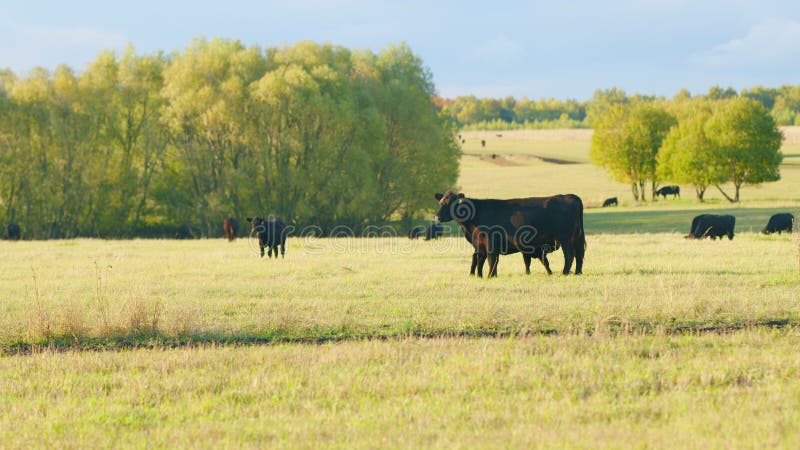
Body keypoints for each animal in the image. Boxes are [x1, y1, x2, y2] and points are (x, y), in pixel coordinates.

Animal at [434, 191, 585, 277]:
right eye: (441, 202)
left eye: (451, 203)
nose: (437, 217)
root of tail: (570, 196)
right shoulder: (479, 244)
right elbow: (481, 260)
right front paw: (486, 276)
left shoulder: (490, 242)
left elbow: (491, 259)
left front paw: (490, 276)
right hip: (576, 236)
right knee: (579, 254)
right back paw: (578, 272)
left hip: (565, 237)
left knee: (569, 254)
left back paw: (565, 273)